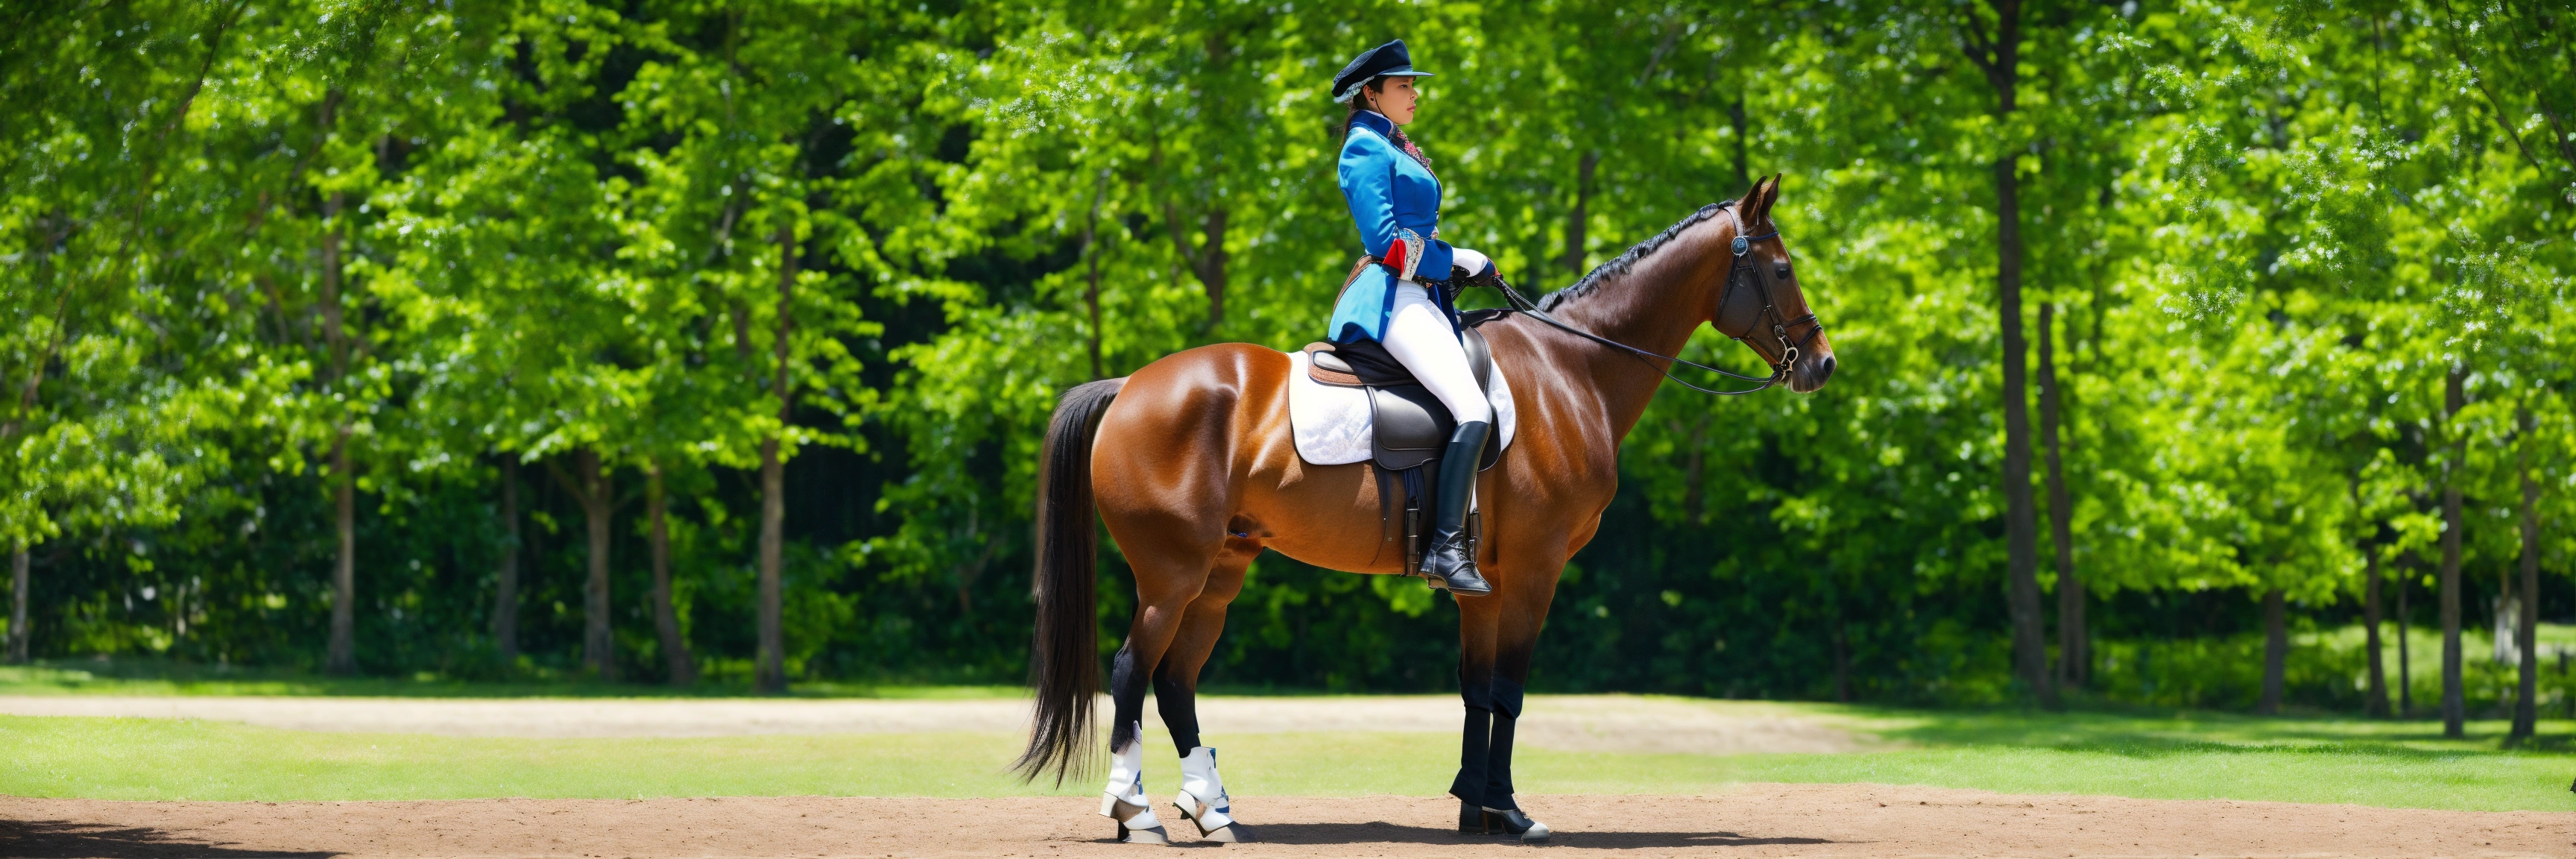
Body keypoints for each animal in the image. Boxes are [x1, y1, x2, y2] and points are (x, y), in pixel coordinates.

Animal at [1015, 175, 1835, 843]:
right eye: (1782, 268)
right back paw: (1137, 811)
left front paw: (1475, 807)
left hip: (1221, 571)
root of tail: (1130, 385)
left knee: (1177, 680)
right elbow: (1509, 691)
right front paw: (1509, 811)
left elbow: (1476, 691)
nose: (1823, 363)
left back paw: (1211, 811)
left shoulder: (1486, 584)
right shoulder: (1534, 571)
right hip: (1172, 574)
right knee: (1132, 670)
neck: (1572, 371)